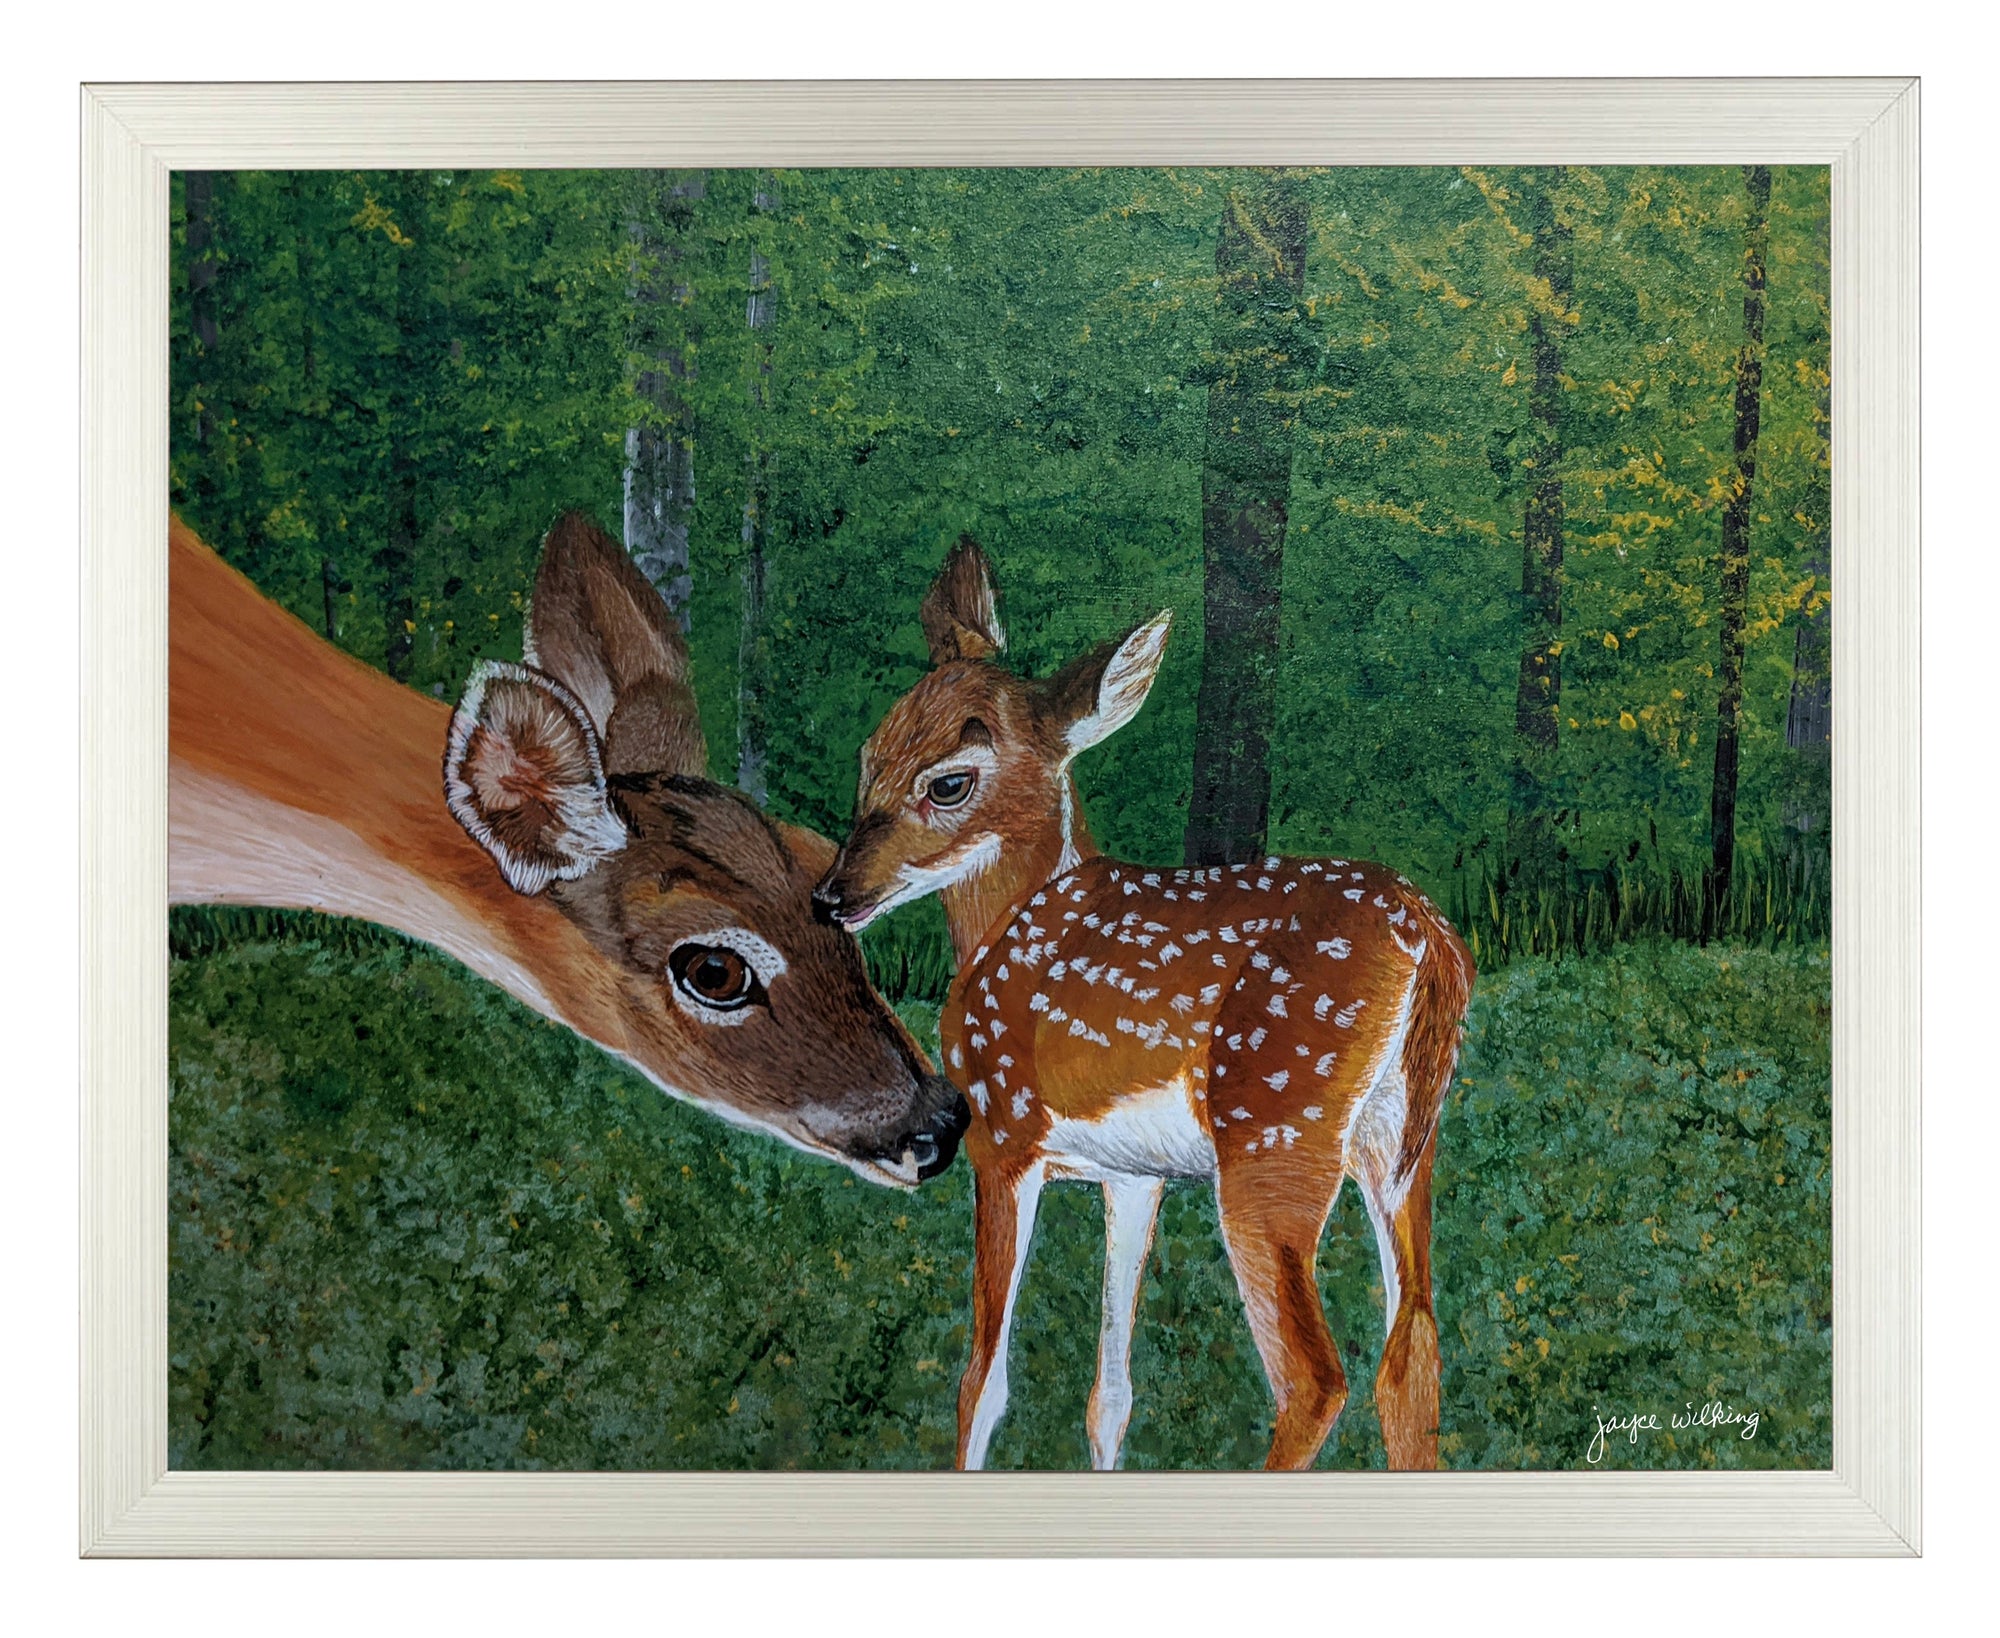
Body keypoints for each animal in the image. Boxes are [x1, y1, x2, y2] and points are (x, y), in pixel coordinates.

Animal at [814, 540, 1475, 1471]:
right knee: (1412, 1354)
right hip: (1403, 1144)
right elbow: (1112, 1394)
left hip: (1274, 1134)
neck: (998, 930)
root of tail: (1427, 937)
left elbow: (982, 1383)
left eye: (948, 783)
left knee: (1315, 1378)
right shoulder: (1134, 1175)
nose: (833, 897)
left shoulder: (1001, 1135)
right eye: (870, 753)